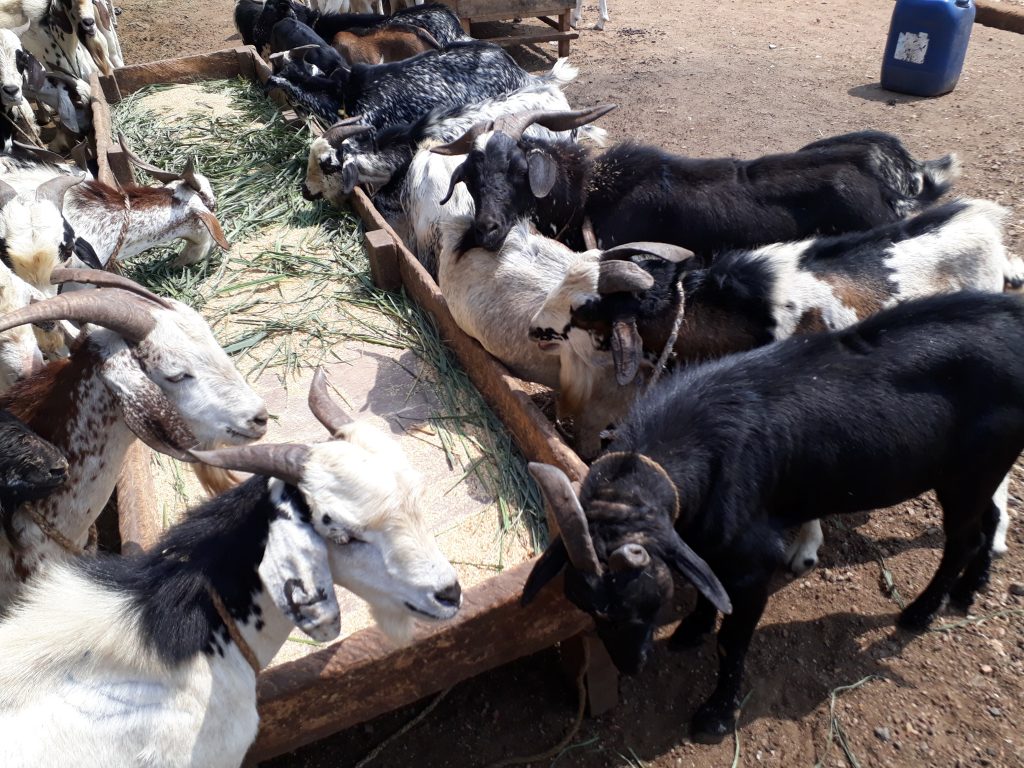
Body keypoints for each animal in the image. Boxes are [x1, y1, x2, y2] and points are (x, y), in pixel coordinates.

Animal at [523, 290, 1024, 742]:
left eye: (647, 598)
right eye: (585, 603)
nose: (630, 664)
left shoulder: (753, 563)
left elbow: (732, 640)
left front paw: (715, 716)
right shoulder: (705, 546)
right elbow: (708, 588)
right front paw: (692, 628)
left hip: (968, 472)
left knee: (963, 539)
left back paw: (920, 612)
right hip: (981, 469)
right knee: (989, 519)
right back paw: (970, 588)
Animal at [532, 199, 1023, 562]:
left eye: (585, 308)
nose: (535, 327)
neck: (745, 313)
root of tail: (982, 221)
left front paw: (804, 550)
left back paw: (997, 535)